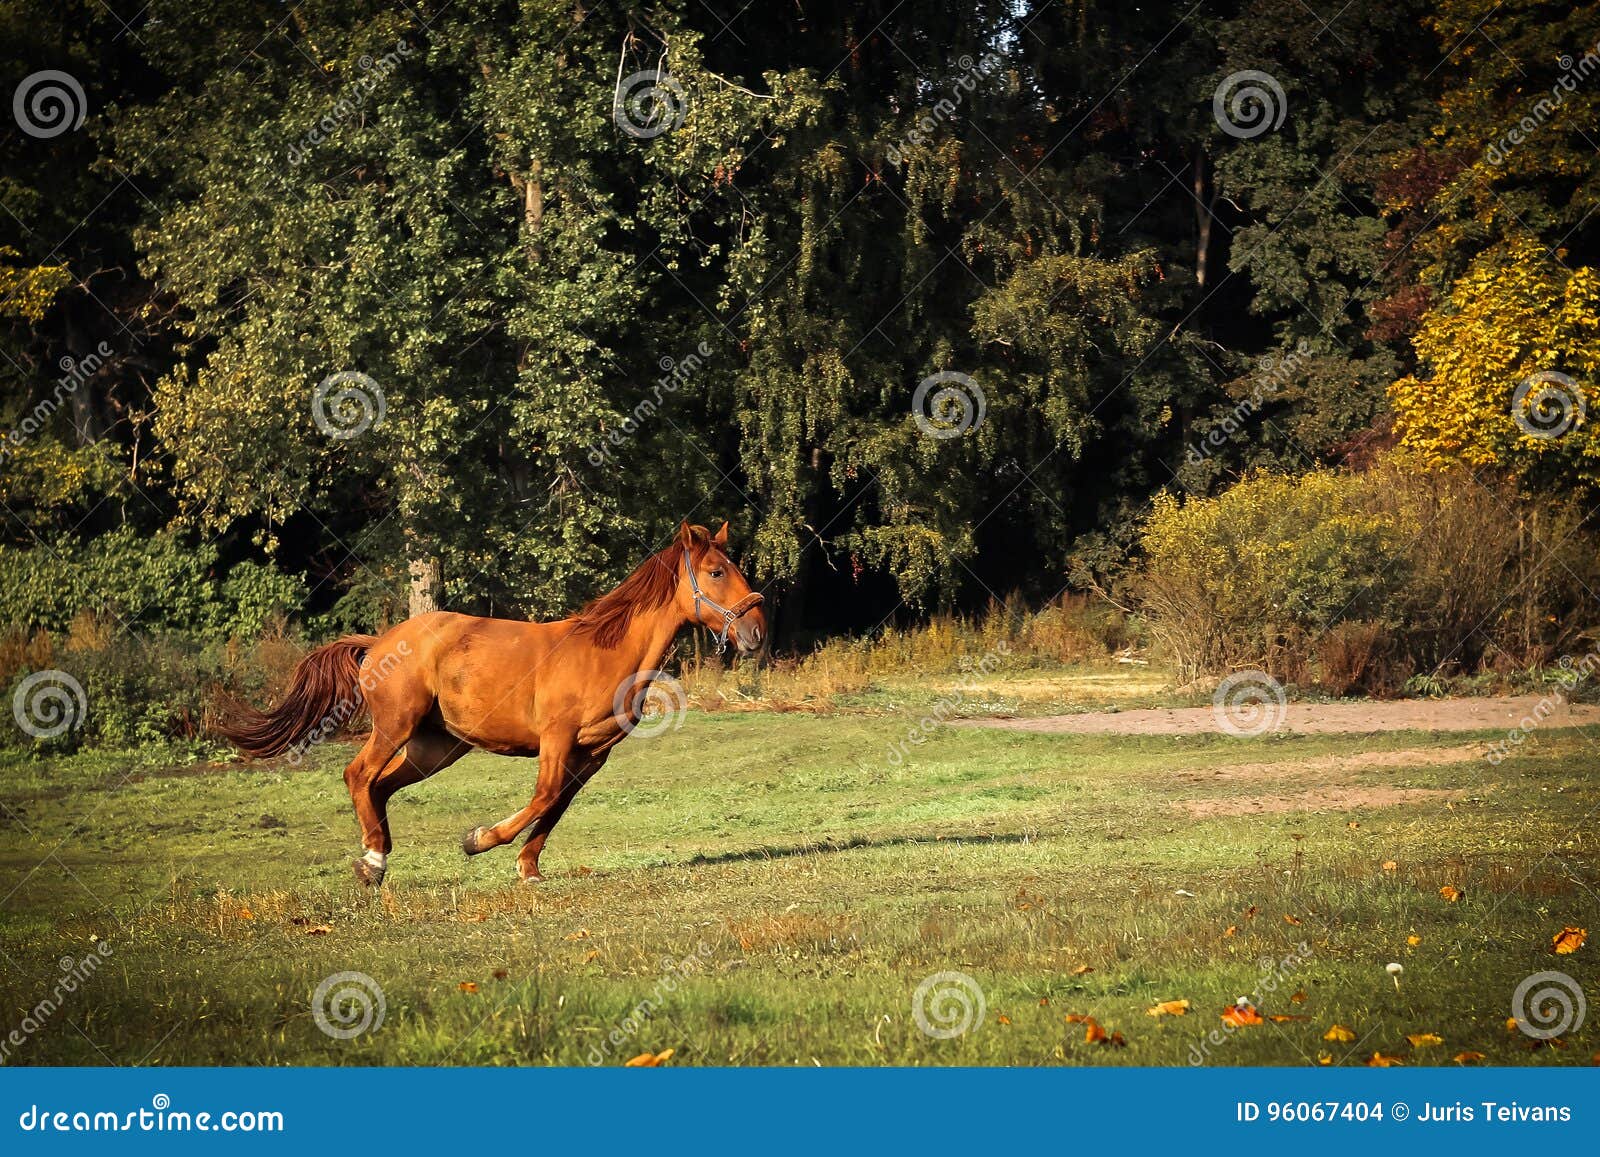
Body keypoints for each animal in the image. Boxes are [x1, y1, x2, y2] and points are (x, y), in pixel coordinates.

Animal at [220, 521, 766, 886]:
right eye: (716, 572)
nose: (756, 632)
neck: (604, 652)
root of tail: (378, 643)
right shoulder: (556, 740)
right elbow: (543, 798)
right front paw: (478, 840)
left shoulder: (591, 756)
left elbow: (557, 807)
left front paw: (528, 869)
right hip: (396, 726)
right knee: (358, 775)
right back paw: (373, 861)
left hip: (436, 748)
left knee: (381, 787)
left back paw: (381, 853)